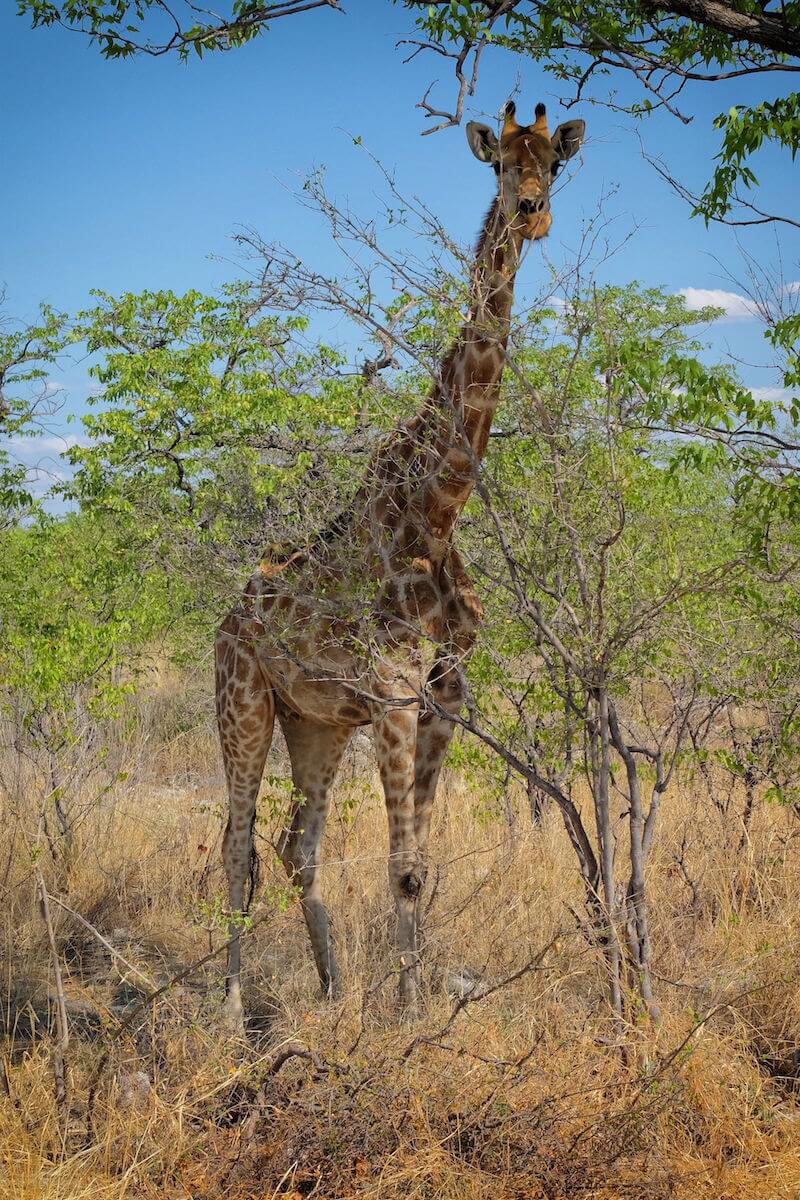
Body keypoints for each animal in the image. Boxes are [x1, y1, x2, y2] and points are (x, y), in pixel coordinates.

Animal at [215, 98, 585, 1027]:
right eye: (501, 165)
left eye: (556, 165)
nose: (533, 212)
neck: (437, 508)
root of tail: (226, 618)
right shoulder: (391, 689)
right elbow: (405, 867)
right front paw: (412, 1013)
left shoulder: (445, 691)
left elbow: (421, 866)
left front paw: (408, 1001)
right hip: (241, 705)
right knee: (236, 846)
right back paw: (230, 1009)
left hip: (313, 722)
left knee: (294, 846)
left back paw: (332, 986)